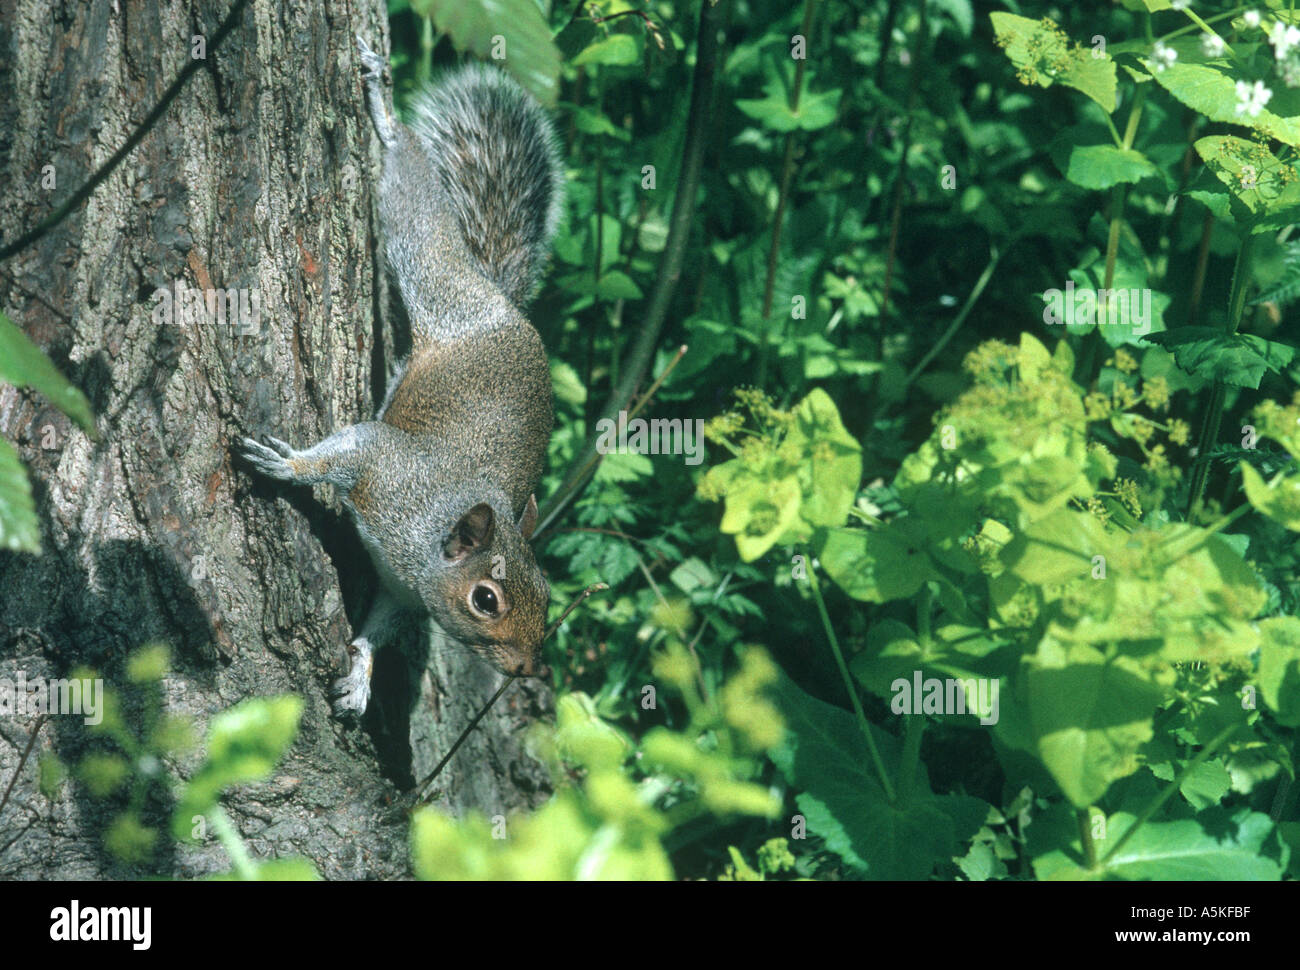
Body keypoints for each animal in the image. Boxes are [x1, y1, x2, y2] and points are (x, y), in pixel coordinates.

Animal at [236, 36, 563, 717]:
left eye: (547, 594)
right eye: (486, 600)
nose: (525, 667)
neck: (427, 539)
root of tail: (505, 307)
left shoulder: (399, 589)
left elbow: (376, 629)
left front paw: (359, 675)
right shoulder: (387, 468)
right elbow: (347, 448)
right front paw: (289, 465)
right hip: (438, 280)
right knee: (418, 211)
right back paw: (384, 115)